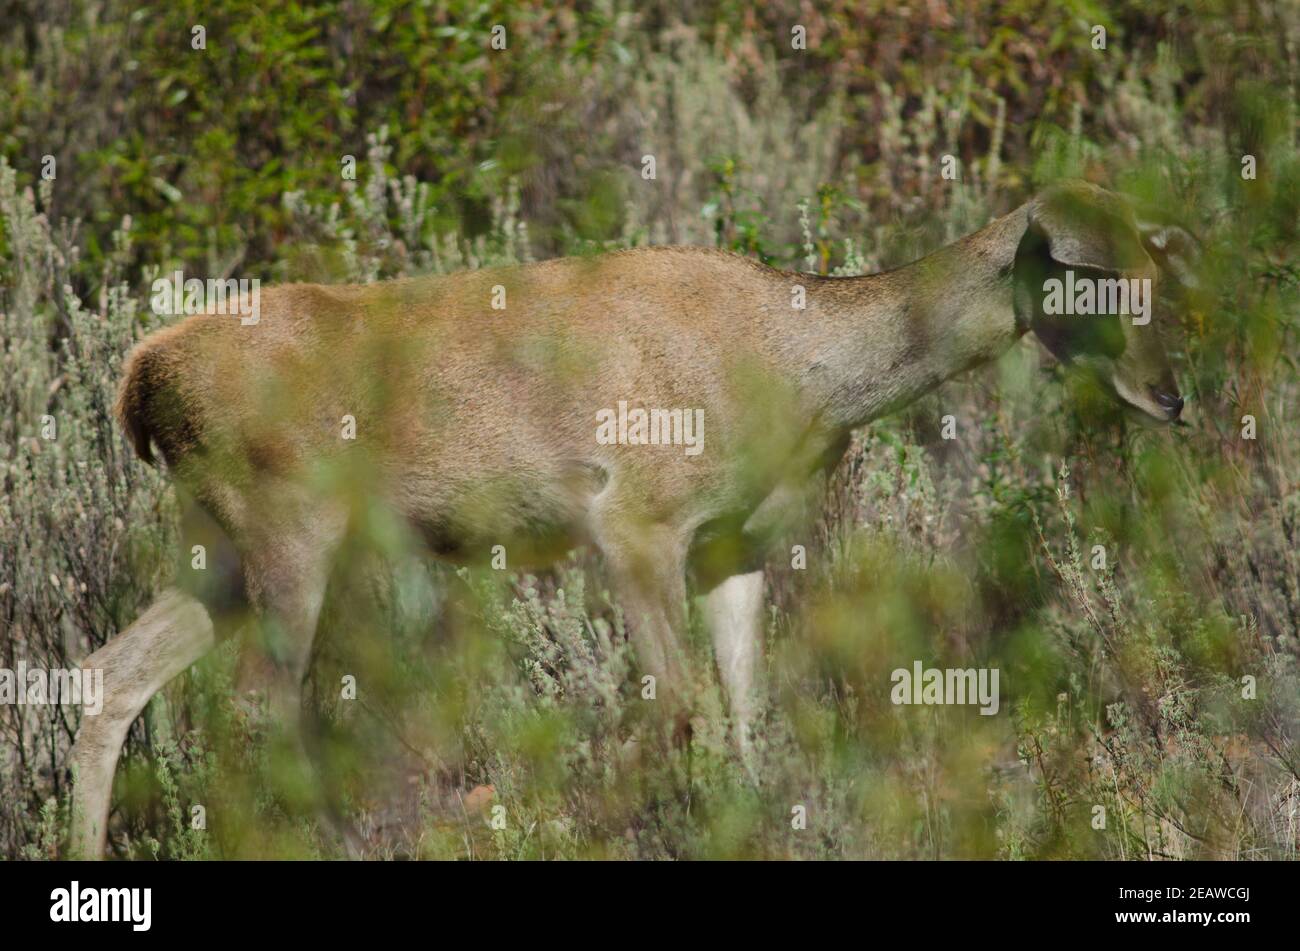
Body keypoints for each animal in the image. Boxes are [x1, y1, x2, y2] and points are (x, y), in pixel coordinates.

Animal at [68, 180, 1194, 857]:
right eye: (1094, 282)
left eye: (1160, 277)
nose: (1174, 397)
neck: (793, 376)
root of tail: (138, 380)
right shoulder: (637, 518)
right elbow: (683, 706)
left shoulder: (734, 544)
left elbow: (746, 709)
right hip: (288, 525)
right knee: (257, 705)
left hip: (216, 545)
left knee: (108, 676)